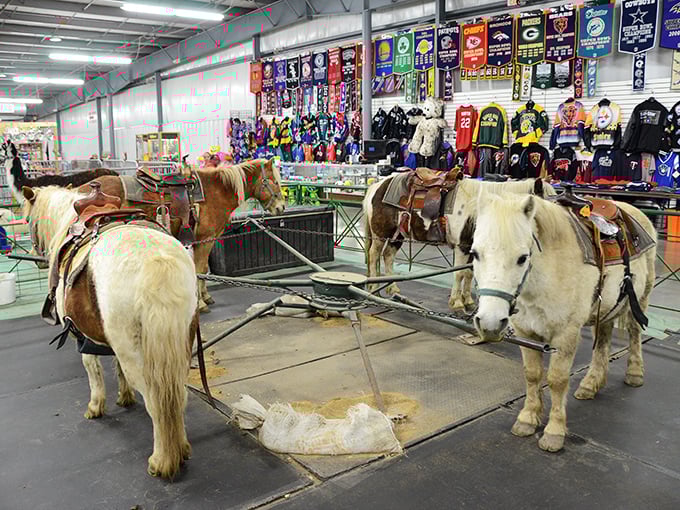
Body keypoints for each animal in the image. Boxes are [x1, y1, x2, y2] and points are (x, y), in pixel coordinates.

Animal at [23, 185, 198, 479]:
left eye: (28, 219)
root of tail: (157, 259)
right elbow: (115, 366)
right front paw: (124, 397)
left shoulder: (79, 335)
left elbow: (92, 368)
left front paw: (95, 407)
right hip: (179, 346)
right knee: (177, 397)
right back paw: (182, 447)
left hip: (138, 357)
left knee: (156, 402)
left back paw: (162, 461)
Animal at [77, 158, 285, 313]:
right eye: (275, 182)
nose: (281, 207)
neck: (217, 191)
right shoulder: (204, 239)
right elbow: (199, 268)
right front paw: (200, 303)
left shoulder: (208, 239)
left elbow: (204, 268)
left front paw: (206, 297)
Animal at [362, 174, 554, 309]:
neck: (478, 210)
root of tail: (376, 186)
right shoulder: (462, 247)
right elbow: (459, 273)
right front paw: (456, 302)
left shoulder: (473, 249)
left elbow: (469, 274)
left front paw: (468, 300)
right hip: (380, 235)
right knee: (374, 255)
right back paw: (373, 288)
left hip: (397, 235)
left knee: (388, 256)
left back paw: (392, 288)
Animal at [470, 191, 656, 453]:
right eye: (475, 253)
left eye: (522, 258)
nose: (490, 322)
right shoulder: (525, 332)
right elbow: (532, 375)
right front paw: (527, 419)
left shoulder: (565, 335)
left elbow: (557, 381)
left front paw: (554, 432)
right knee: (603, 339)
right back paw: (591, 384)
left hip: (640, 299)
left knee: (634, 332)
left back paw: (634, 373)